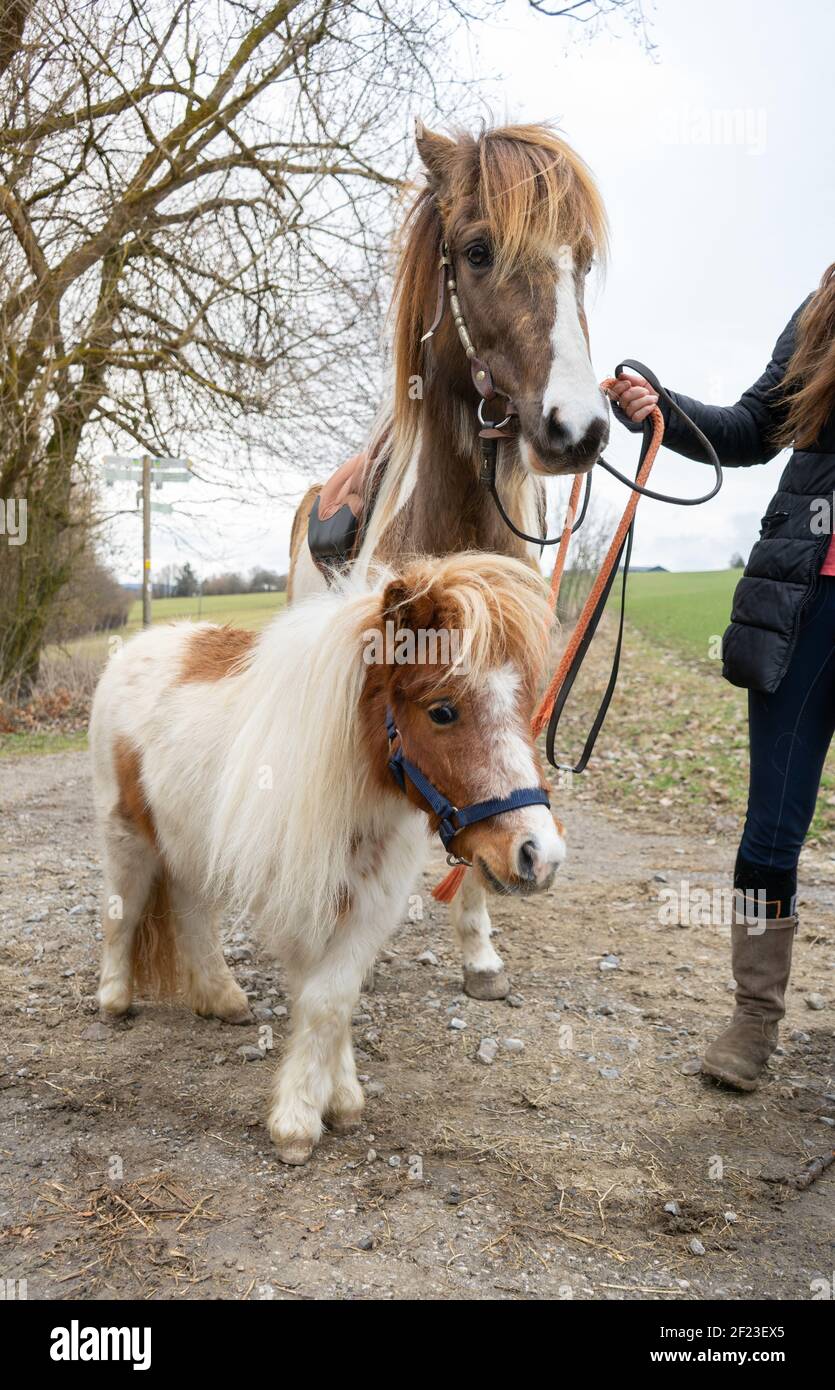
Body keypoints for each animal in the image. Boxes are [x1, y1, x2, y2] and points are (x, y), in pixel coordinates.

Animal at [89, 552, 565, 1164]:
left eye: (524, 705)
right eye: (442, 711)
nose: (539, 855)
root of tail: (141, 647)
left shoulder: (370, 903)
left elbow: (339, 996)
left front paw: (340, 1099)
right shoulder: (301, 901)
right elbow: (318, 1001)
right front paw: (297, 1122)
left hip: (190, 845)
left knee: (192, 915)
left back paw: (222, 998)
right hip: (126, 834)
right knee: (120, 912)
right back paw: (115, 1000)